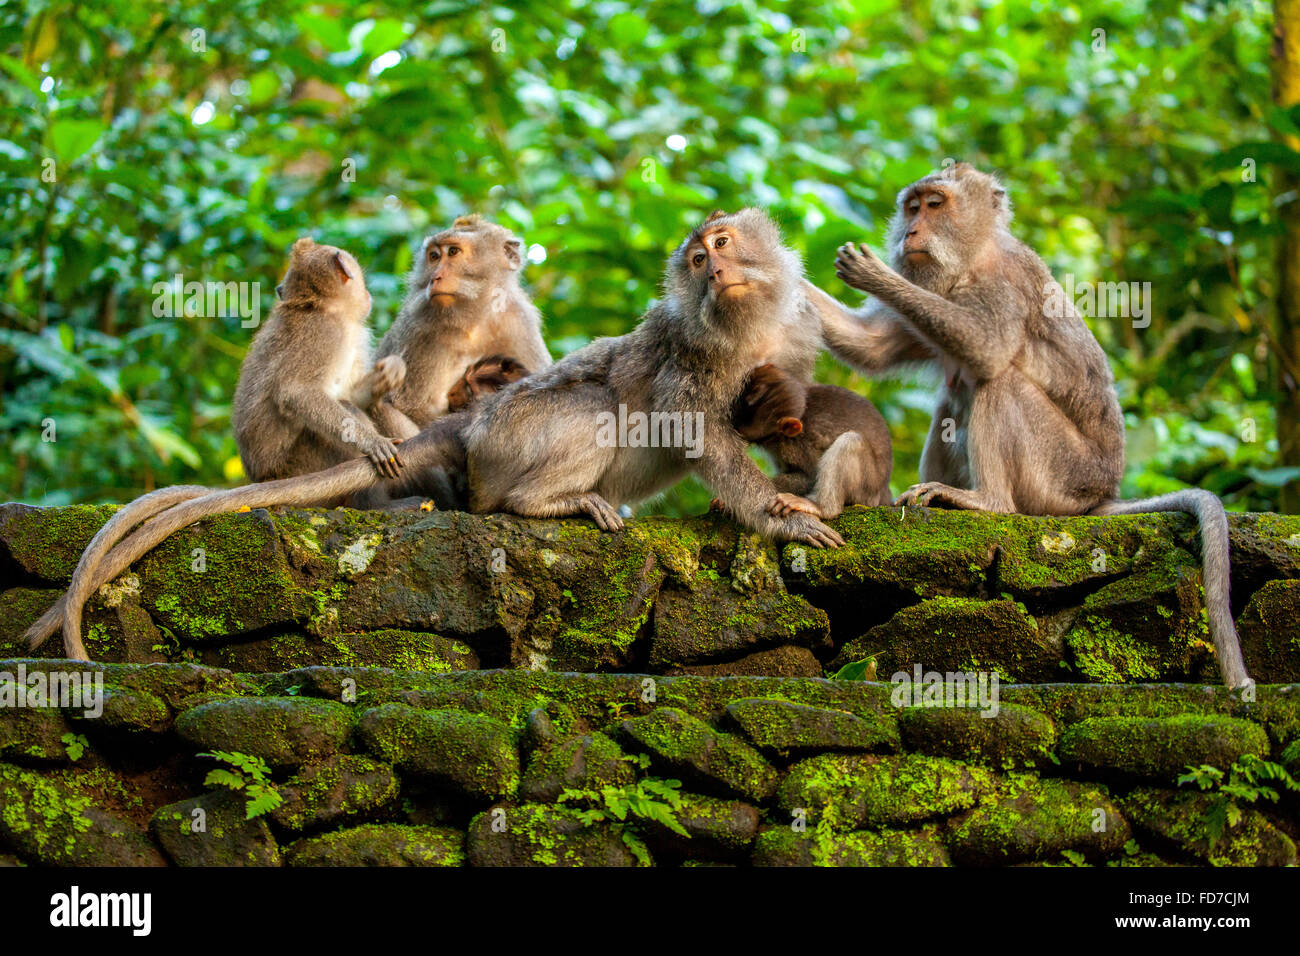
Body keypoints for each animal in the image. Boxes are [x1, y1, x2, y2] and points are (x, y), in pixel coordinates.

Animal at [375, 215, 552, 435]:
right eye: (434, 256)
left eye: (453, 252)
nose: (434, 278)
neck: (474, 320)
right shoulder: (417, 327)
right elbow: (408, 405)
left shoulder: (520, 321)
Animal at [729, 363, 893, 519]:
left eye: (742, 432)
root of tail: (884, 491)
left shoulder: (799, 447)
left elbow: (810, 477)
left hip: (867, 491)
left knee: (851, 441)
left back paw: (821, 507)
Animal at [804, 162, 1252, 690]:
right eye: (912, 207)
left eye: (934, 204)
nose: (911, 231)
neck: (974, 257)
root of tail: (1102, 494)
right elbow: (871, 344)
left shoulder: (1003, 286)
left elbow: (988, 349)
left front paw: (875, 275)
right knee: (952, 398)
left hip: (1060, 475)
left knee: (999, 383)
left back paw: (987, 501)